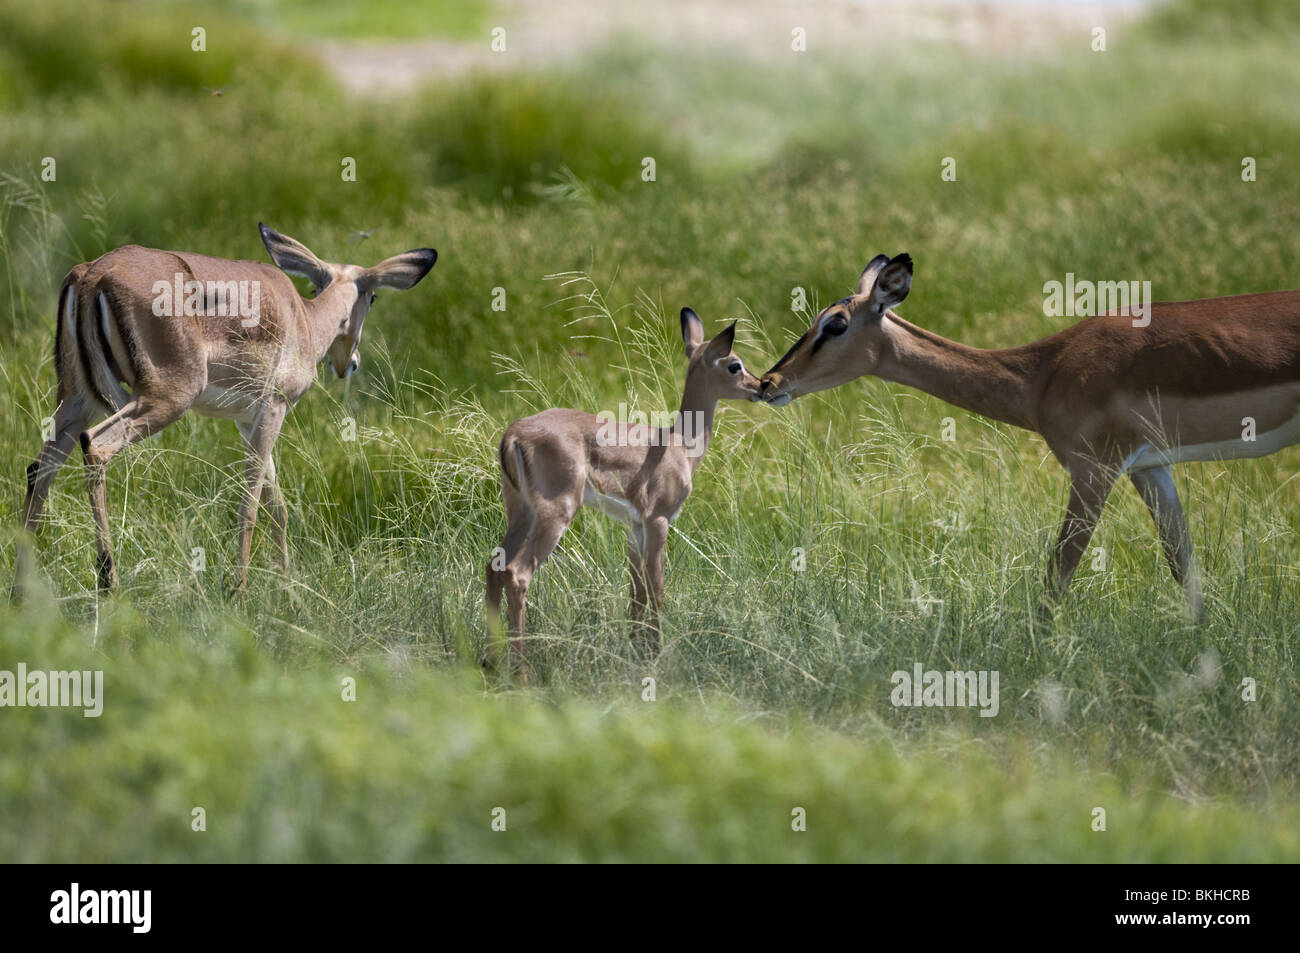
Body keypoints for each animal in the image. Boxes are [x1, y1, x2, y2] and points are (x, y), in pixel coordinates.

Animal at [13, 224, 437, 596]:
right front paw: (240, 590)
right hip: (162, 400)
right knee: (95, 447)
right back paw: (108, 584)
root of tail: (93, 274)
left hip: (78, 400)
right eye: (373, 297)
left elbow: (278, 506)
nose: (350, 363)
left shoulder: (248, 421)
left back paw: (22, 593)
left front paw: (288, 590)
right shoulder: (273, 409)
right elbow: (250, 505)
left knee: (39, 469)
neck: (302, 317)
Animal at [486, 308, 763, 677]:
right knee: (517, 574)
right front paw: (655, 656)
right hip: (556, 513)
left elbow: (636, 591)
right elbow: (657, 589)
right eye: (734, 364)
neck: (679, 446)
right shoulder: (658, 520)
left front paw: (636, 652)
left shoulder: (634, 526)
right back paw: (521, 672)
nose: (761, 386)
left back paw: (489, 662)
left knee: (494, 568)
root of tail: (513, 435)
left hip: (520, 512)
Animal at [759, 252, 1300, 622]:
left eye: (835, 324)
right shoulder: (1150, 468)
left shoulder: (1093, 471)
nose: (769, 382)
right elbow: (1184, 570)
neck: (1044, 373)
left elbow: (1055, 579)